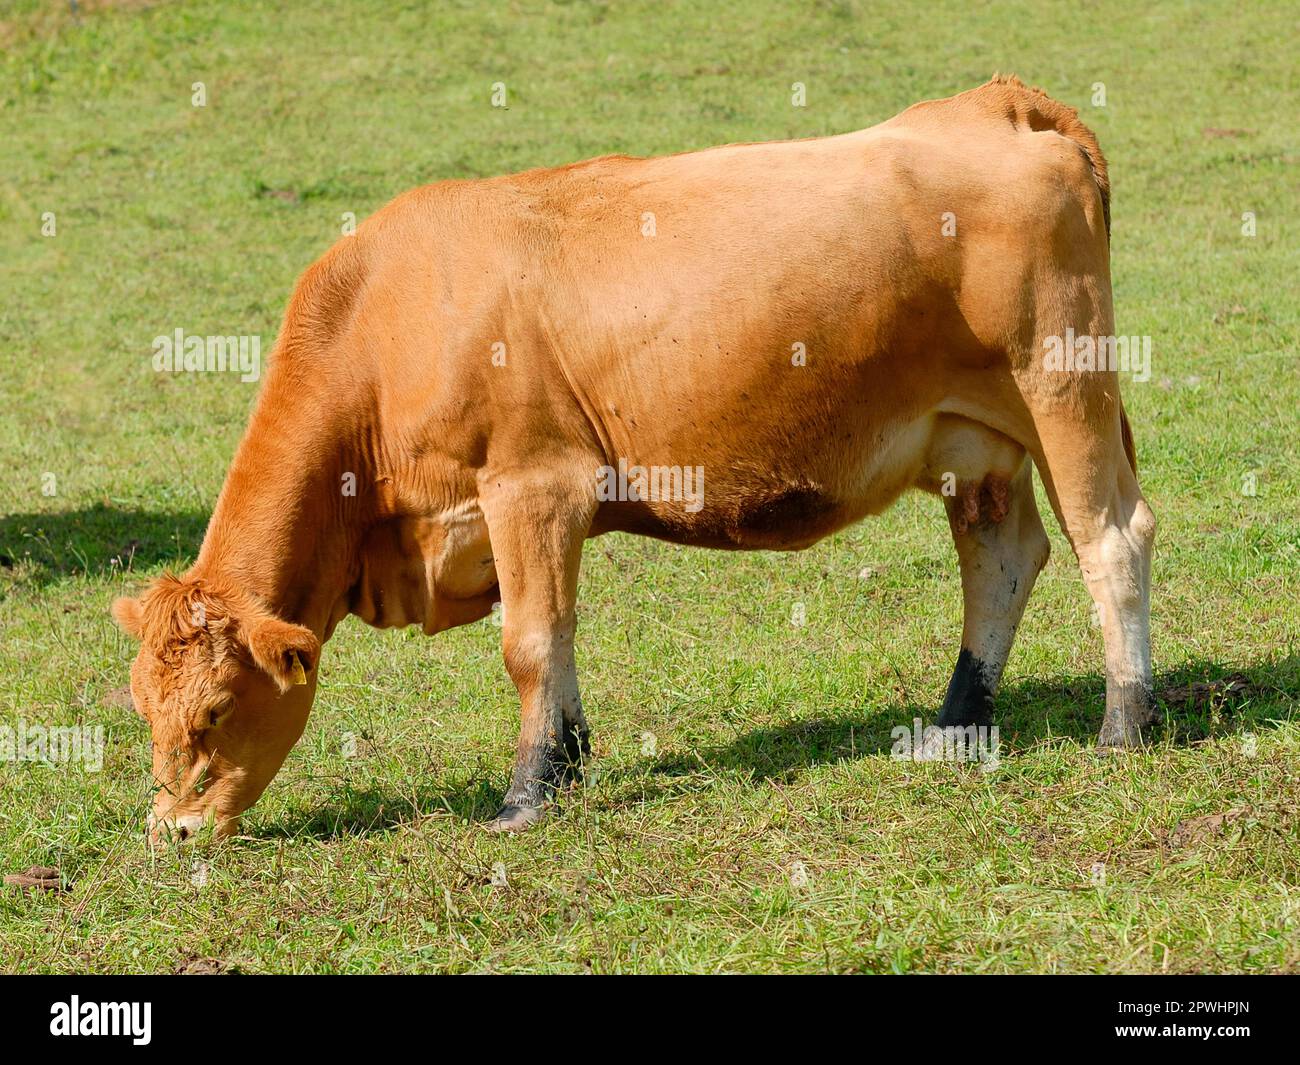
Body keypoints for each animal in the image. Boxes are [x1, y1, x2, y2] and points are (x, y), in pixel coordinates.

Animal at [112, 75, 1156, 841]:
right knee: (1003, 559)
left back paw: (1125, 724)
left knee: (1113, 540)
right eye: (143, 710)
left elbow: (531, 642)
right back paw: (955, 726)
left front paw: (526, 795)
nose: (173, 830)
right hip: (974, 441)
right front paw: (566, 762)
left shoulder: (532, 486)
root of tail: (1001, 103)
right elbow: (555, 641)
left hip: (1063, 388)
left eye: (214, 711)